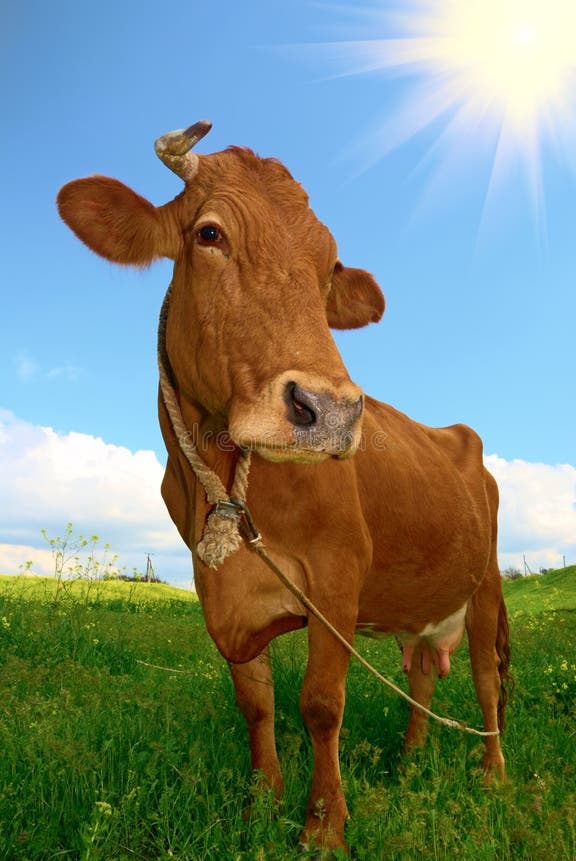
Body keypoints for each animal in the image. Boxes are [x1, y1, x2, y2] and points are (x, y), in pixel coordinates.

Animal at [57, 121, 511, 856]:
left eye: (328, 269)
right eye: (209, 233)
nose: (330, 409)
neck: (228, 484)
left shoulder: (338, 575)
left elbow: (321, 704)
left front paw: (324, 824)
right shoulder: (217, 584)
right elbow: (257, 701)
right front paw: (260, 803)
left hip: (488, 584)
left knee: (486, 680)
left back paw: (493, 772)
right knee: (420, 674)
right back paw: (411, 760)